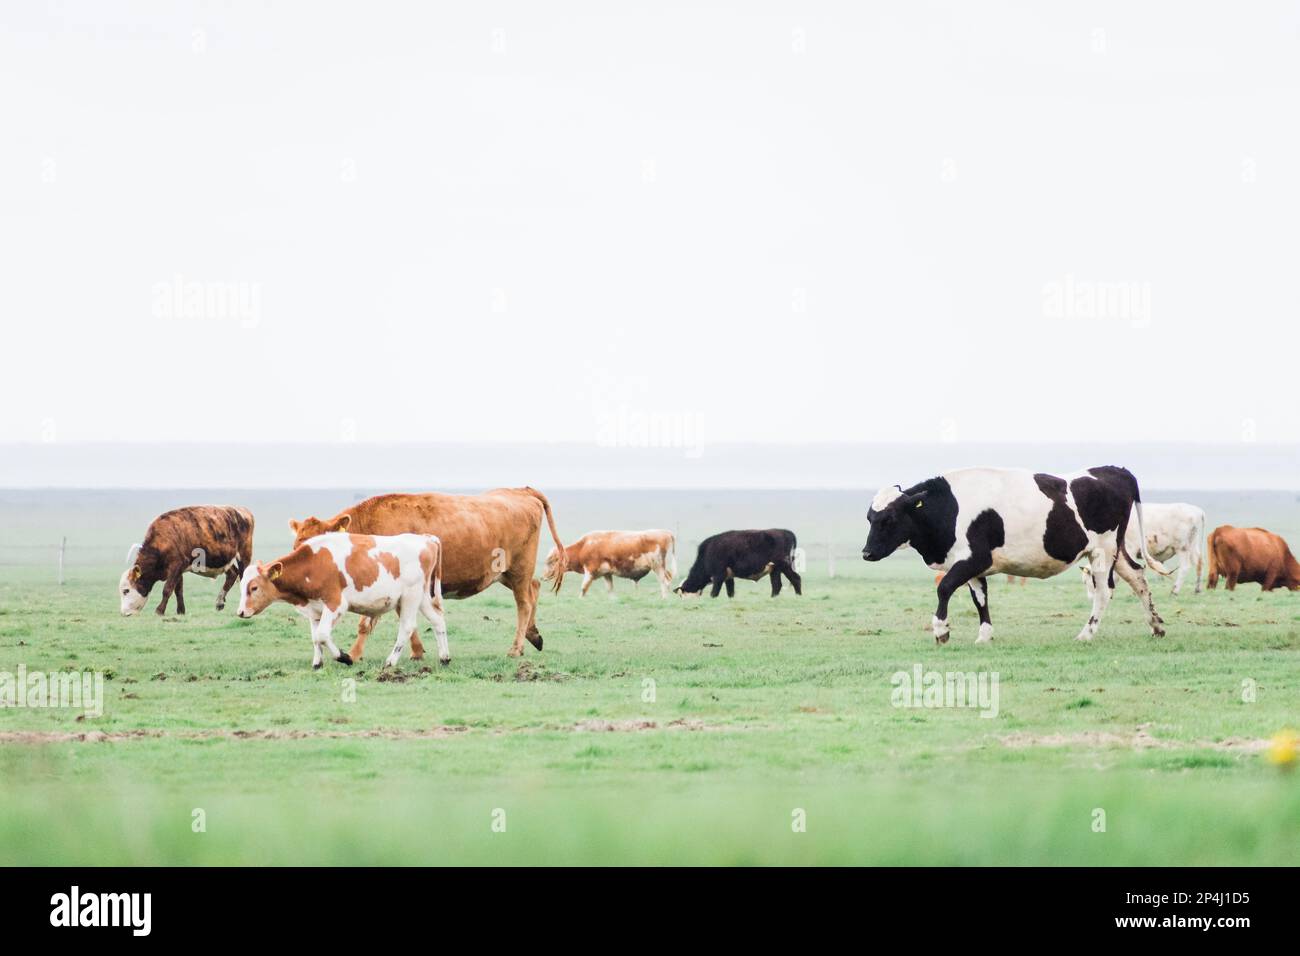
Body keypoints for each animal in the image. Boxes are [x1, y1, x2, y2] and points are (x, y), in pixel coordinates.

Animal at [119, 505, 255, 617]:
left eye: (126, 591)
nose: (124, 613)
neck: (163, 539)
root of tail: (242, 510)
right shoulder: (179, 569)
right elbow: (178, 590)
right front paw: (181, 610)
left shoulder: (176, 565)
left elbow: (167, 589)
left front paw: (159, 611)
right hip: (223, 559)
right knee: (232, 574)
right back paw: (219, 602)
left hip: (244, 554)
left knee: (243, 576)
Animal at [236, 532, 449, 670]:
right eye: (242, 586)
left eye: (254, 588)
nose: (240, 612)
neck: (313, 564)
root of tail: (426, 539)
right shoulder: (315, 610)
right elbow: (315, 638)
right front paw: (317, 663)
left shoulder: (335, 604)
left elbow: (322, 635)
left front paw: (344, 657)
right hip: (422, 597)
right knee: (438, 620)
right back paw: (444, 658)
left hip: (410, 596)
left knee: (407, 627)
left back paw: (391, 662)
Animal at [289, 487, 563, 660]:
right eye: (297, 545)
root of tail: (520, 491)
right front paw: (417, 651)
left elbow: (368, 623)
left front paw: (353, 655)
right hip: (506, 574)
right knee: (535, 589)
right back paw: (533, 636)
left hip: (518, 571)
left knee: (524, 603)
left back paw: (516, 648)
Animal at [544, 529, 677, 597]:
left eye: (551, 562)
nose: (543, 577)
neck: (583, 547)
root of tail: (665, 533)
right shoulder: (606, 574)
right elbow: (610, 589)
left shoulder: (590, 571)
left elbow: (583, 589)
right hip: (661, 567)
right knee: (668, 579)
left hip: (658, 566)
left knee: (664, 582)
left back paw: (664, 598)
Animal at [862, 466, 1171, 643]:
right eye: (869, 518)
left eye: (889, 519)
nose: (866, 553)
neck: (951, 507)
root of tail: (1116, 470)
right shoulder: (973, 566)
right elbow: (980, 598)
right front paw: (984, 635)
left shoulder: (974, 559)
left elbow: (945, 588)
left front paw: (941, 630)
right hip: (1115, 550)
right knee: (1138, 577)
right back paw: (1155, 626)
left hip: (1103, 551)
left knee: (1104, 591)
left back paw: (1086, 634)